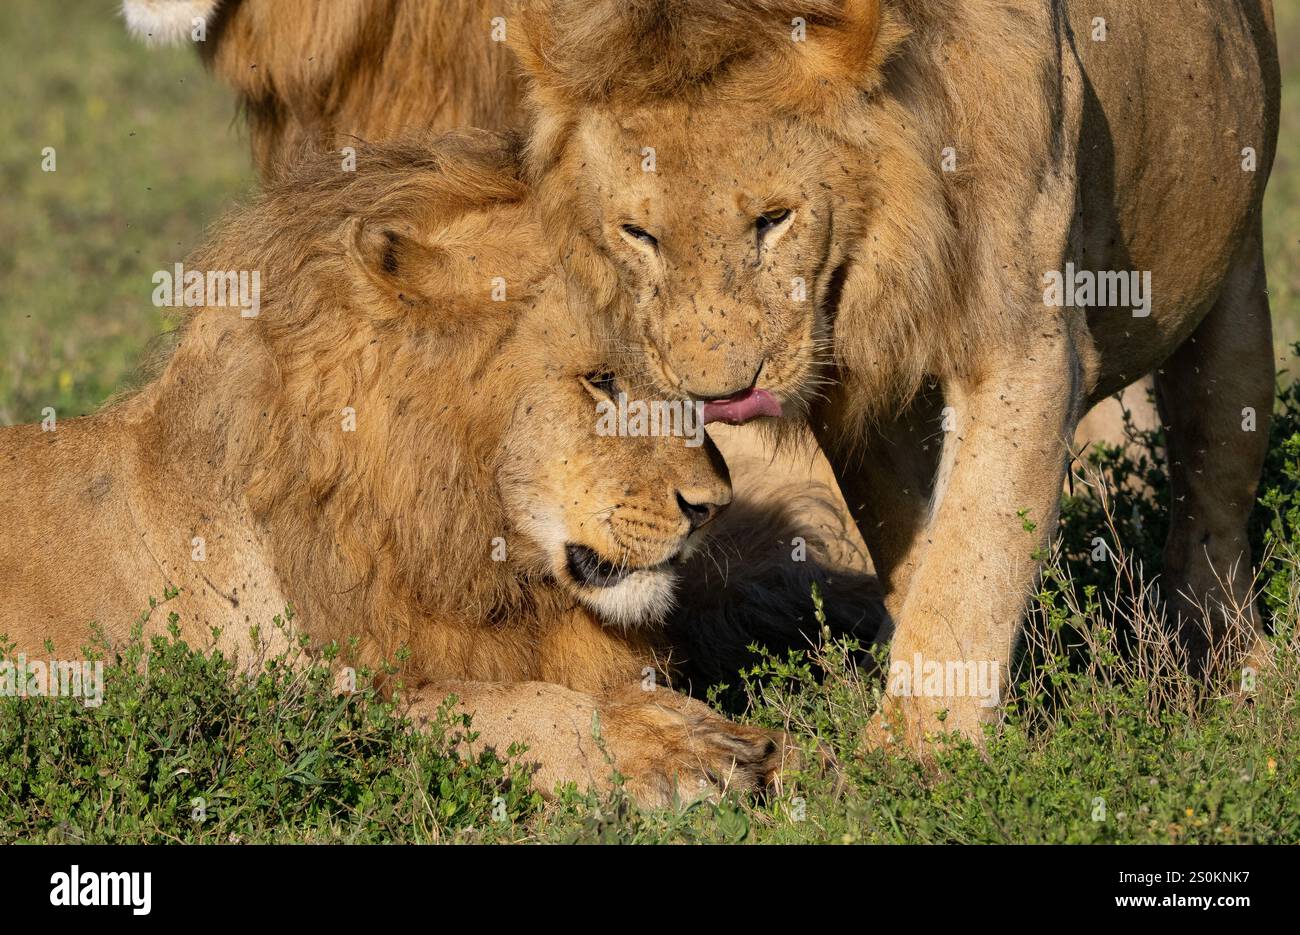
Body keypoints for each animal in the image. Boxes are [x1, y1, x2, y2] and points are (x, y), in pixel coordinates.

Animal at [502, 0, 1282, 747]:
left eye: (774, 219)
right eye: (639, 235)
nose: (722, 396)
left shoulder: (1026, 341)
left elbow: (972, 550)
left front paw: (914, 752)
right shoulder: (859, 388)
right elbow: (916, 545)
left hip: (1237, 282)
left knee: (1213, 499)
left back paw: (1232, 668)